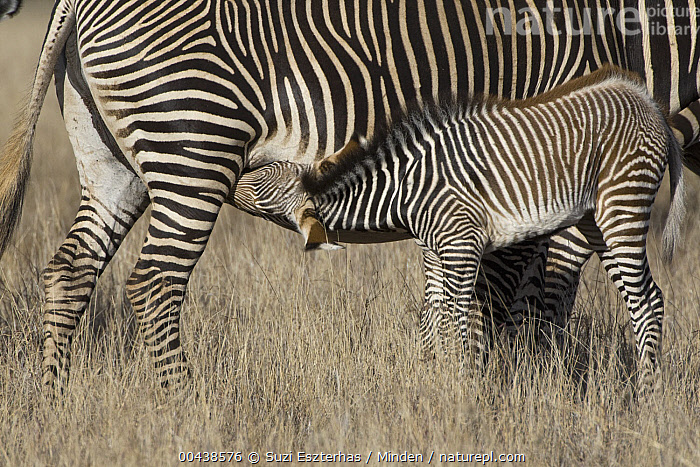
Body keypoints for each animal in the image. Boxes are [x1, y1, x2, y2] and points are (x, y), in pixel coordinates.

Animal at [236, 66, 685, 390]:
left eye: (259, 185)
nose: (236, 169)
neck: (404, 190)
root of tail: (645, 99)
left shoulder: (461, 247)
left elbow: (457, 319)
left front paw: (461, 390)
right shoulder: (437, 253)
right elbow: (435, 319)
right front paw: (434, 380)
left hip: (624, 205)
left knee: (648, 300)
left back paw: (649, 394)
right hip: (597, 222)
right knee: (644, 297)